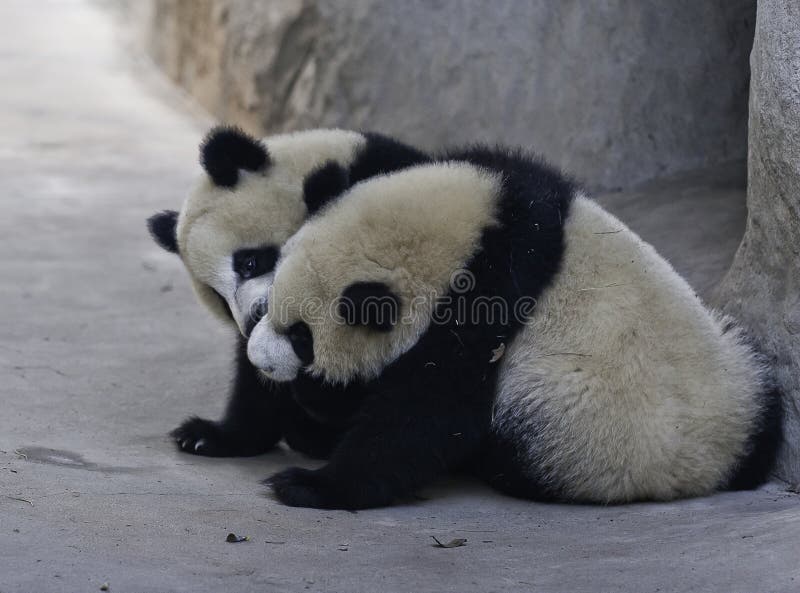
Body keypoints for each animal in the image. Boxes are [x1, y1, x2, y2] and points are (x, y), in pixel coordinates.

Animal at [247, 147, 782, 509]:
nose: (259, 360)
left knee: (520, 442)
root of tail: (714, 463)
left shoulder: (486, 301)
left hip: (581, 425)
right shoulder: (512, 177)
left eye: (302, 337)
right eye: (271, 300)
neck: (473, 235)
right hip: (737, 362)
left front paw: (313, 481)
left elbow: (428, 414)